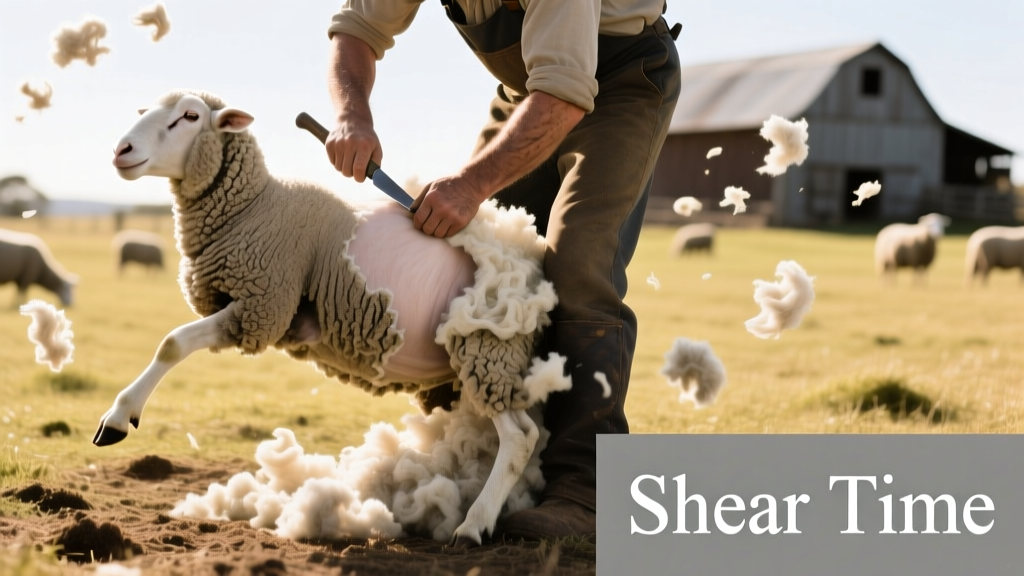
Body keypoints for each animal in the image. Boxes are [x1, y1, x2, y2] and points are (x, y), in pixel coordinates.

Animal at [95, 90, 564, 547]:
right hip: (484, 361)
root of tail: (531, 258)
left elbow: (172, 342)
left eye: (190, 116)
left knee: (519, 438)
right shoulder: (249, 307)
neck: (253, 207)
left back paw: (473, 526)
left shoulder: (263, 305)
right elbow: (176, 342)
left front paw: (117, 420)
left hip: (488, 349)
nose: (121, 150)